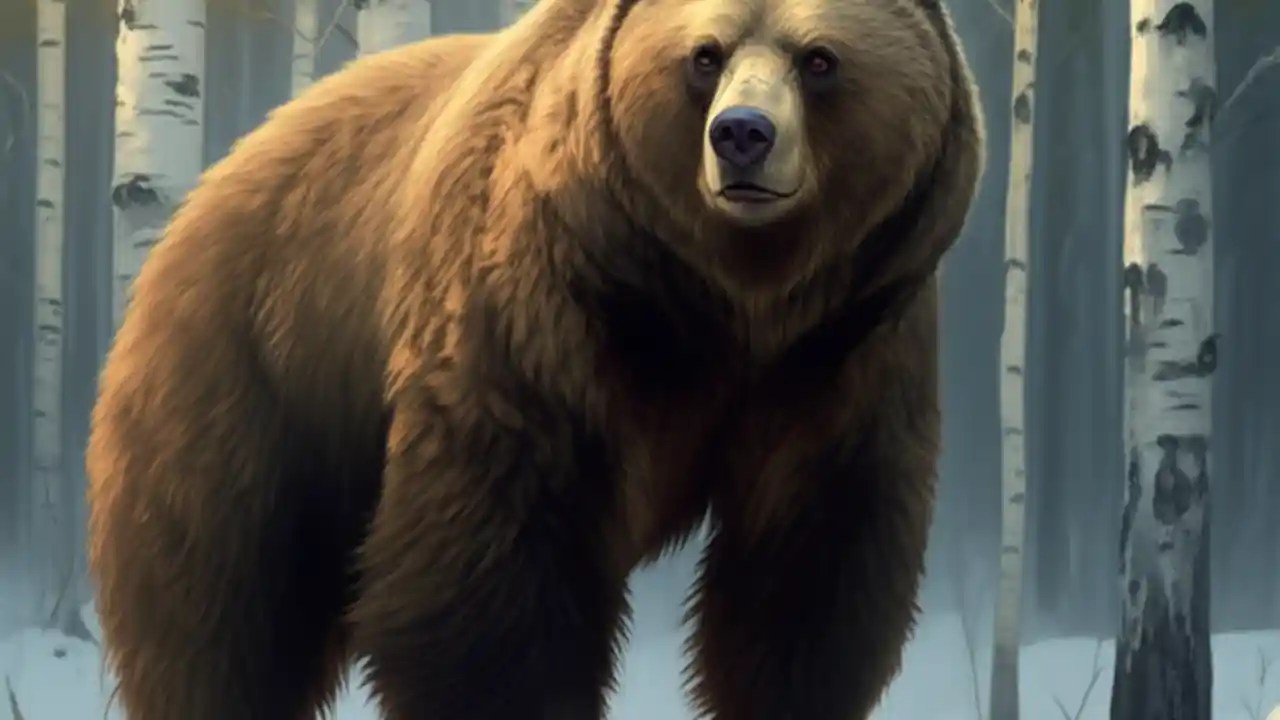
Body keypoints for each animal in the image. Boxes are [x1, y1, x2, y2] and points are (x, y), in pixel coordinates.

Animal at [86, 0, 984, 718]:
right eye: (705, 54)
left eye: (819, 59)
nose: (741, 135)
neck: (722, 301)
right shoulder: (538, 311)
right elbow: (493, 574)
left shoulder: (850, 345)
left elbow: (810, 567)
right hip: (250, 377)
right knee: (220, 608)